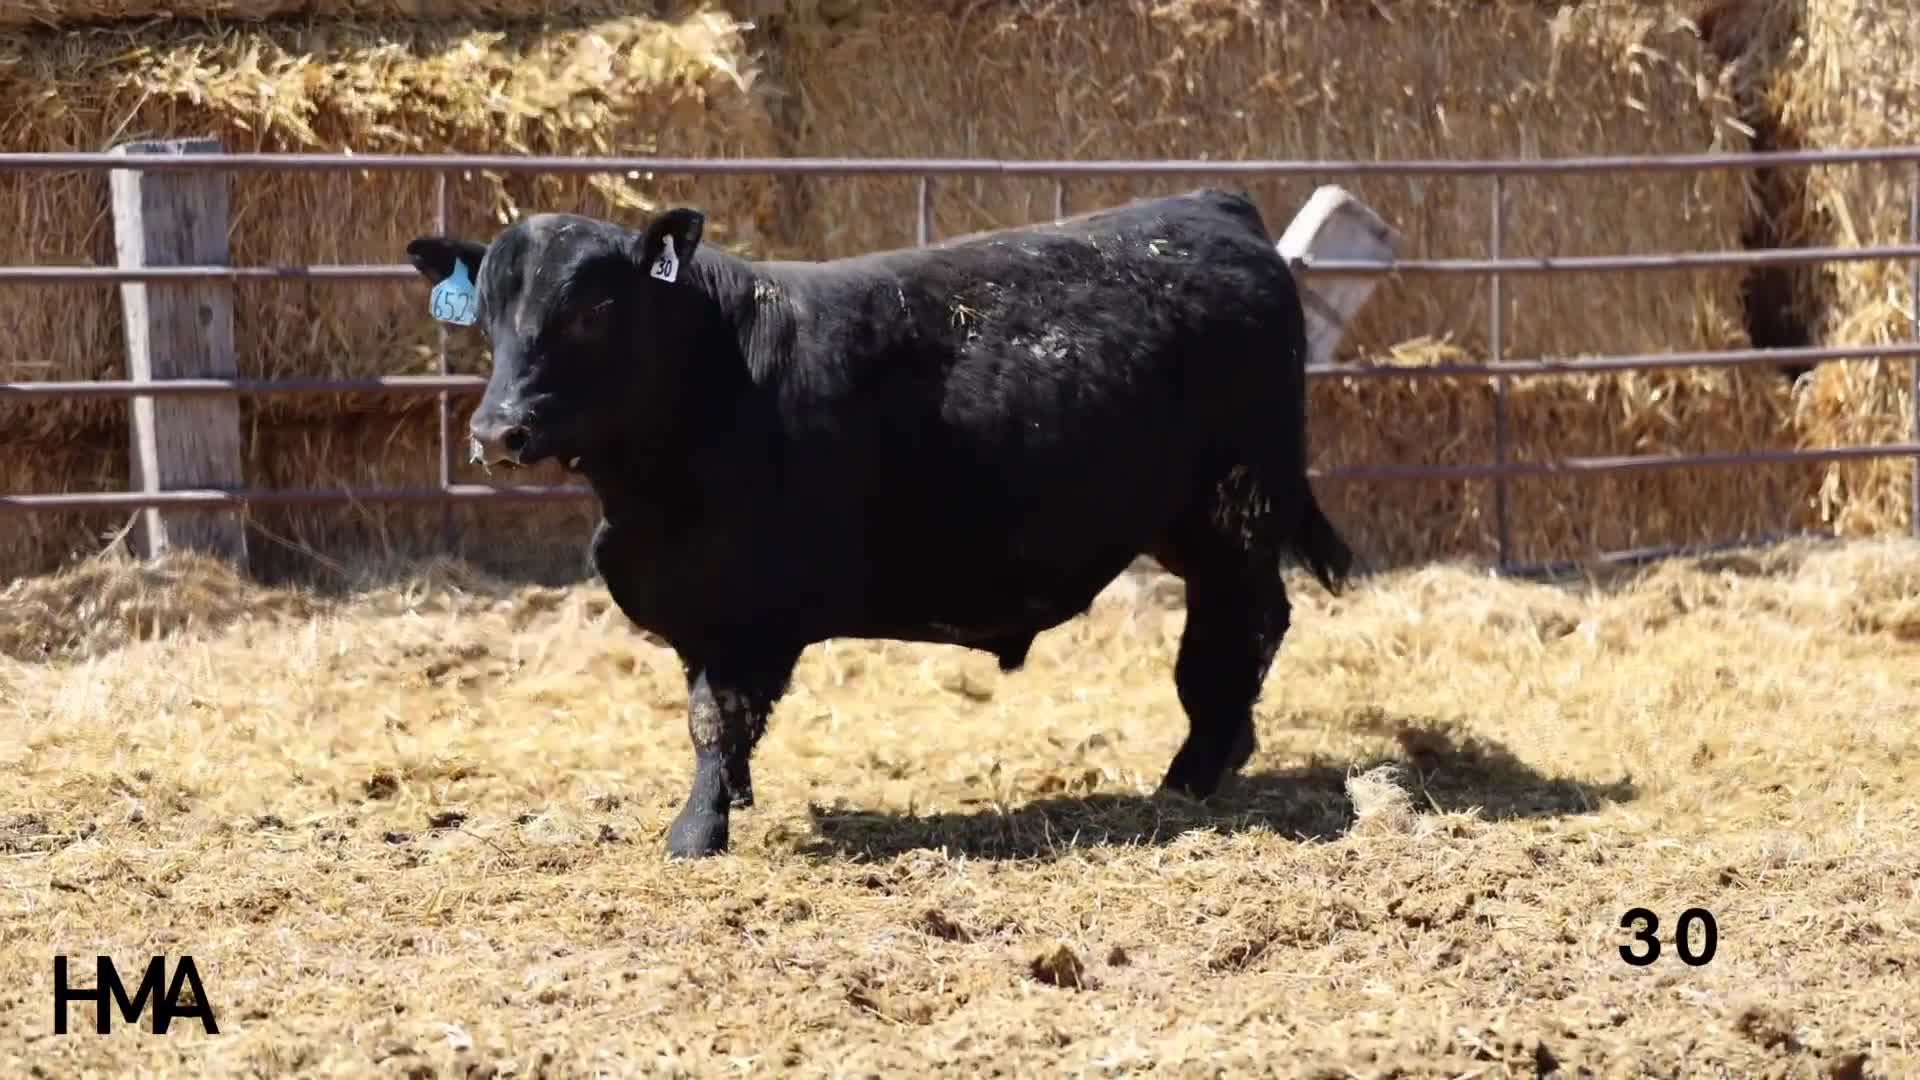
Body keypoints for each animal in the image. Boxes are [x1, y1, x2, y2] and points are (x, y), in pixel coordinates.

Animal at [405, 188, 1355, 859]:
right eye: (486, 314)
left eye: (594, 310)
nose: (498, 431)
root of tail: (1212, 207)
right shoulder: (693, 607)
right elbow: (710, 719)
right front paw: (732, 797)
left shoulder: (754, 614)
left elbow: (719, 719)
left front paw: (697, 832)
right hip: (1190, 526)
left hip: (1237, 513)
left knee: (1236, 637)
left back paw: (1190, 776)